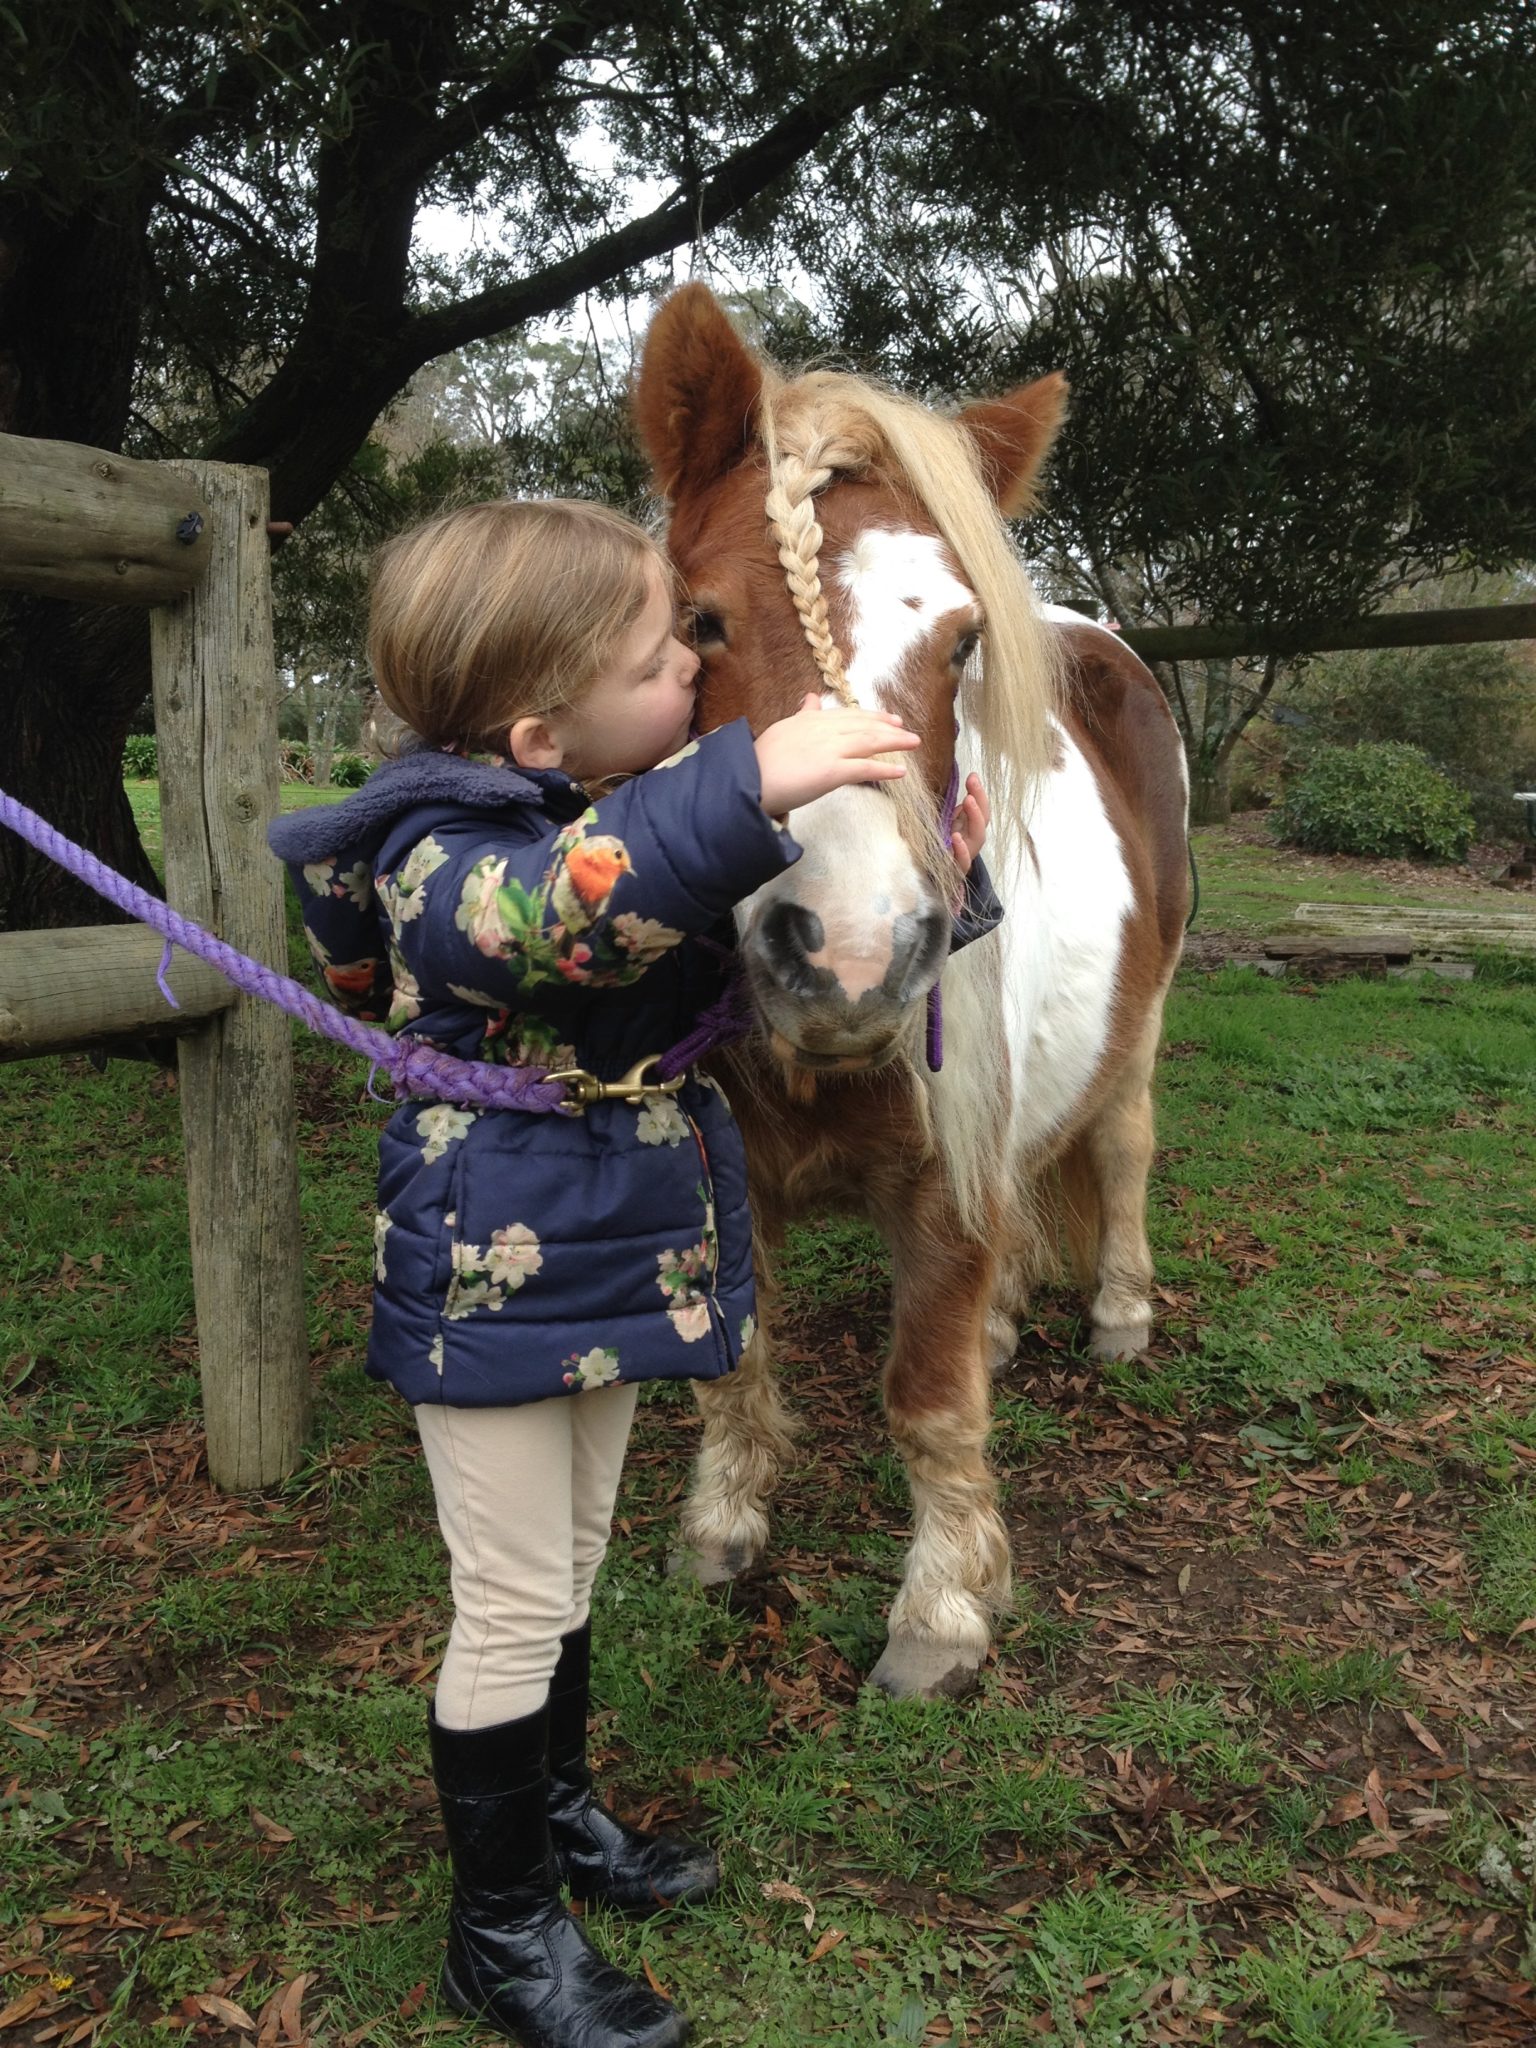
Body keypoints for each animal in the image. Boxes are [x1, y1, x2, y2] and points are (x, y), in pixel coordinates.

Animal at [634, 285, 1189, 1697]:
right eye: (701, 621)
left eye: (961, 642)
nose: (848, 952)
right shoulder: (724, 1175)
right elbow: (736, 1360)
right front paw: (721, 1526)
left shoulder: (944, 1177)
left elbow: (928, 1398)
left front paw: (941, 1610)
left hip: (1141, 1024)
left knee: (1118, 1145)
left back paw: (1117, 1308)